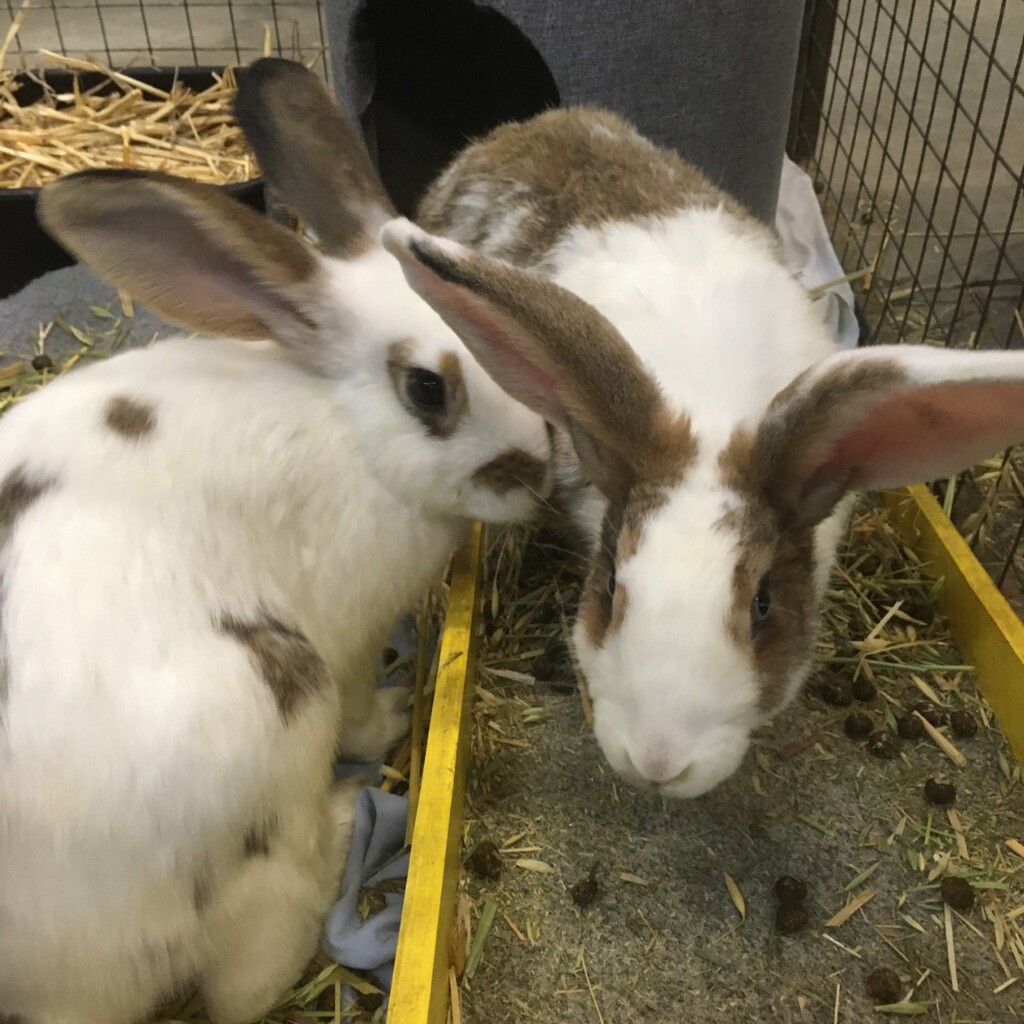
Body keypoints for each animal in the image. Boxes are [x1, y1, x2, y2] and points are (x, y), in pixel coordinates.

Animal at [0, 59, 551, 1024]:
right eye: (426, 389)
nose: (546, 463)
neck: (344, 424)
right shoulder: (353, 631)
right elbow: (366, 694)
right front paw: (394, 716)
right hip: (277, 703)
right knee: (252, 968)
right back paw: (350, 814)